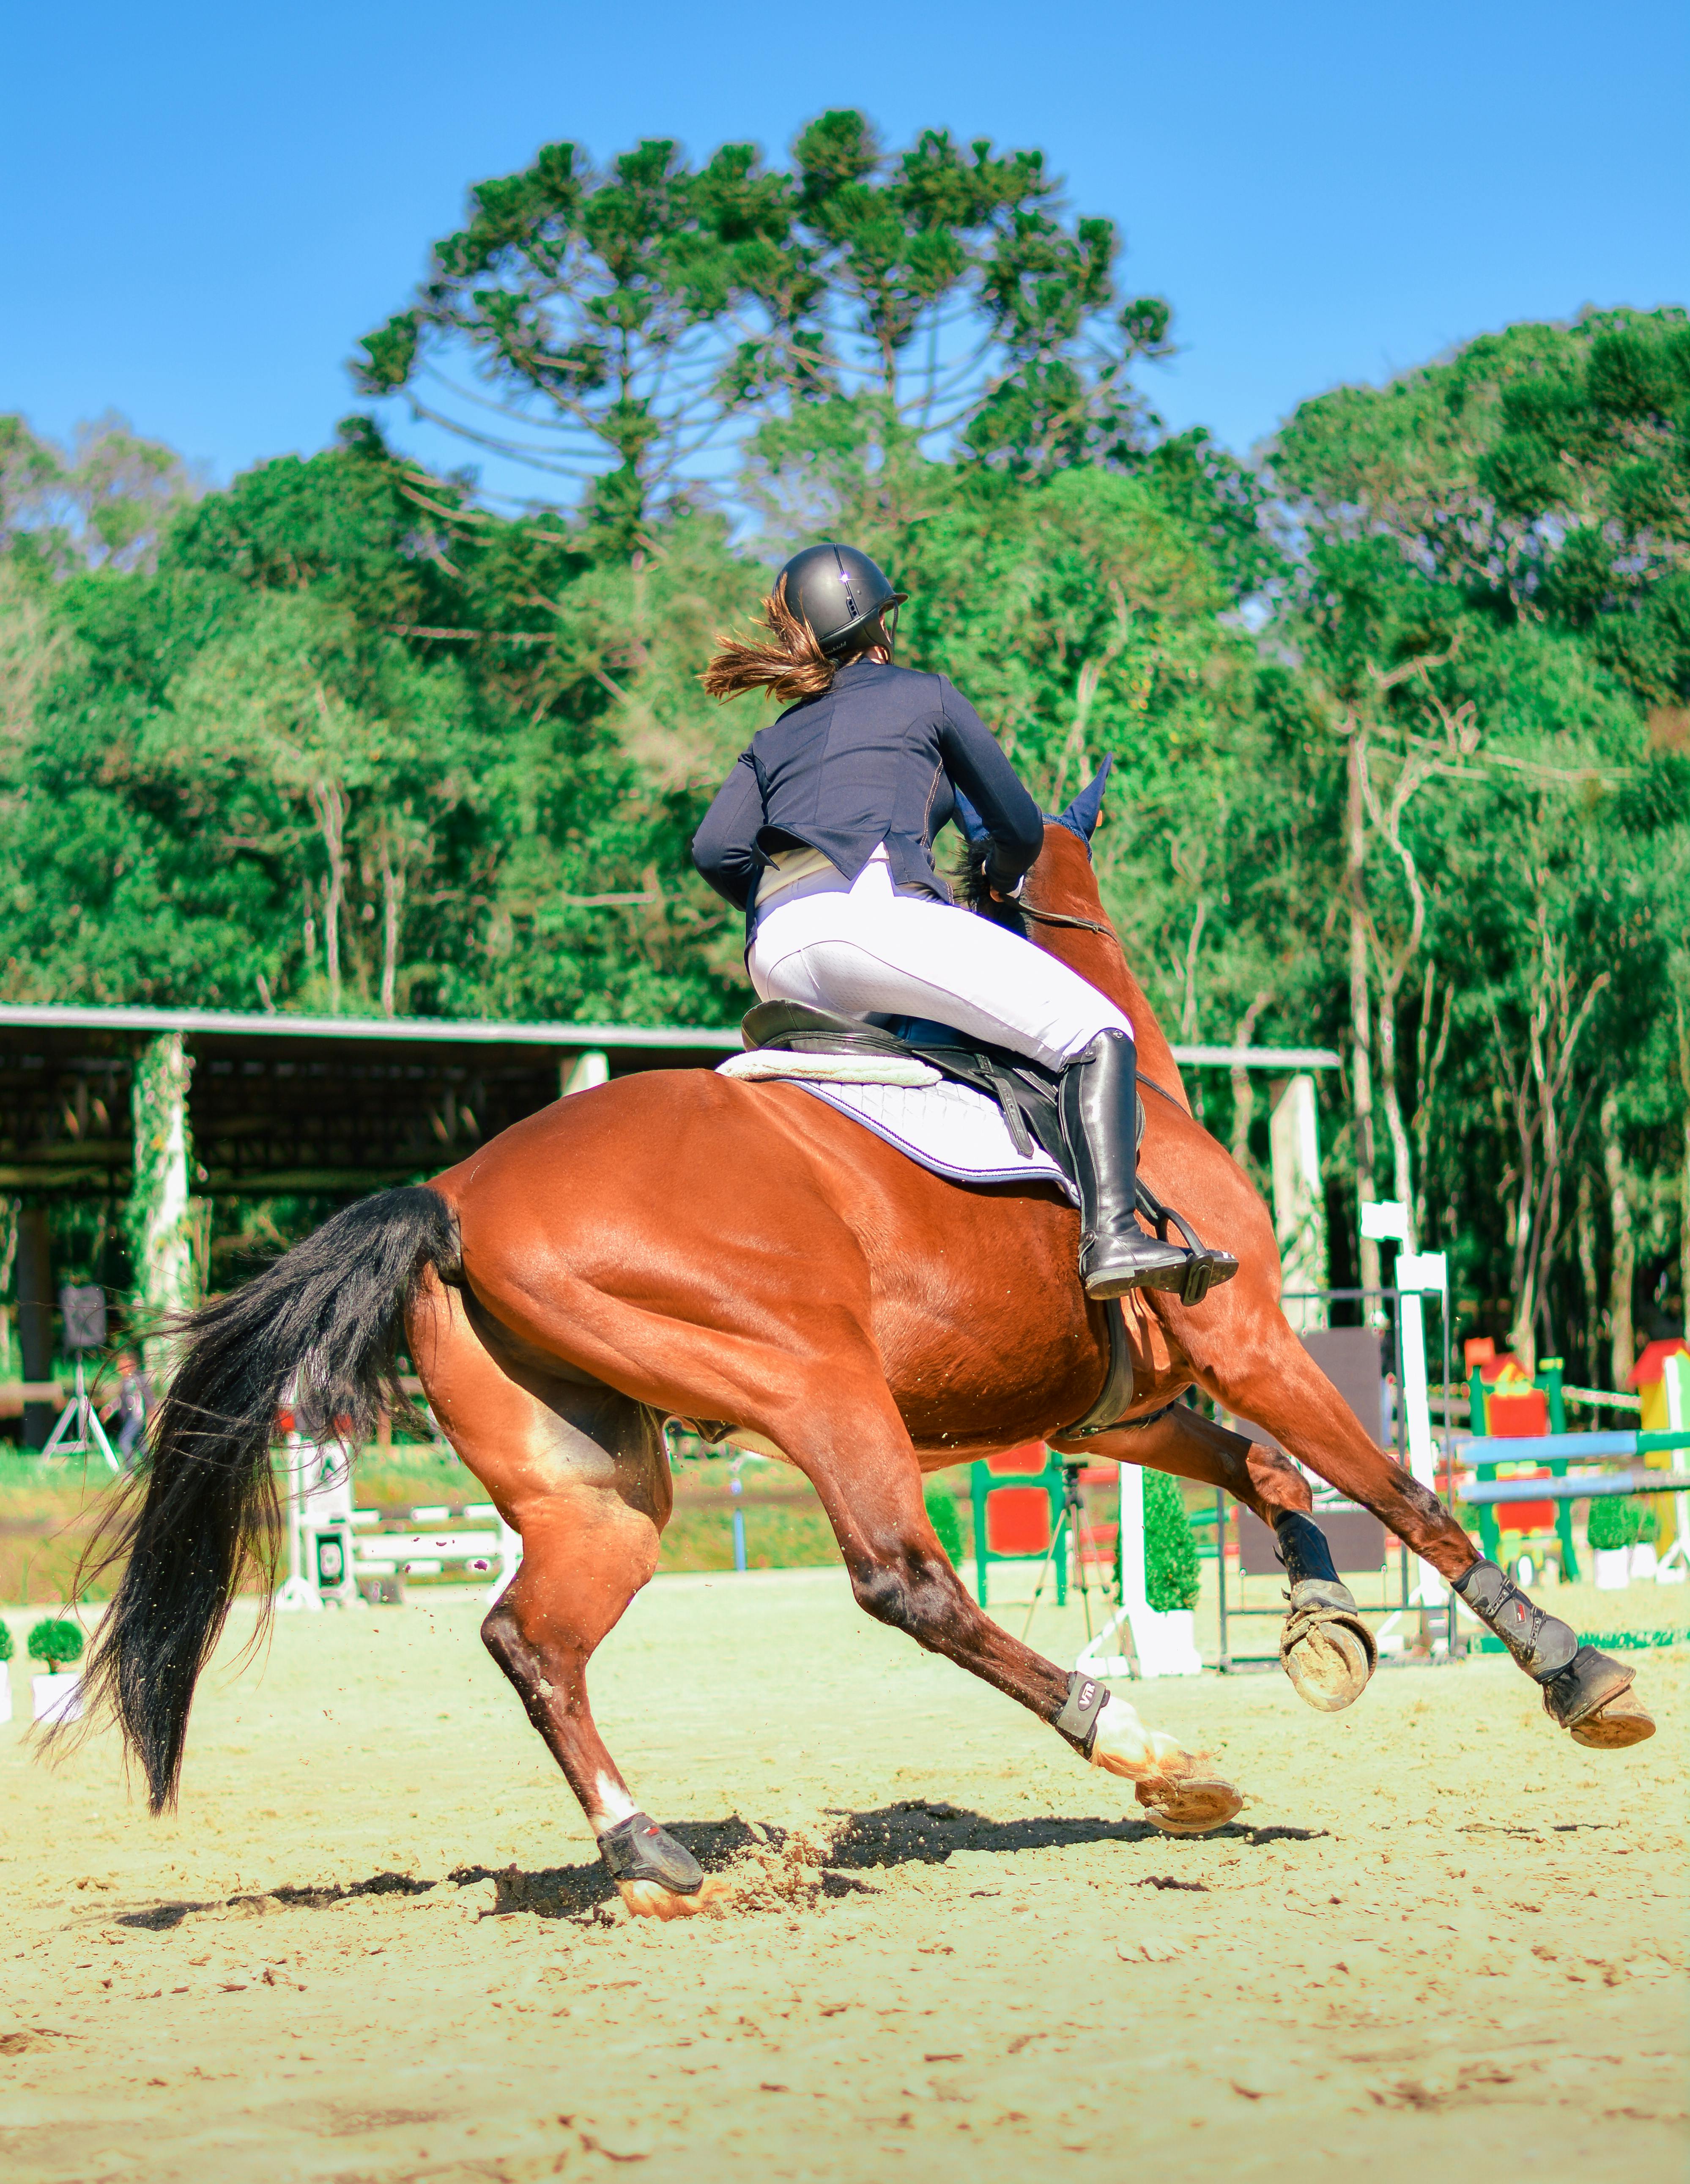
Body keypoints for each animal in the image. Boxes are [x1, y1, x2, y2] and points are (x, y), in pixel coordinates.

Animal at [77, 768, 1654, 1917]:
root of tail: (456, 1196)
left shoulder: (1121, 1412)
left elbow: (1268, 1478)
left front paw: (1325, 1627)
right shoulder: (1244, 1338)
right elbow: (1391, 1483)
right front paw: (1567, 1667)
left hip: (603, 1488)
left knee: (532, 1637)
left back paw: (653, 1857)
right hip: (817, 1384)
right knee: (905, 1582)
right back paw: (1151, 1754)